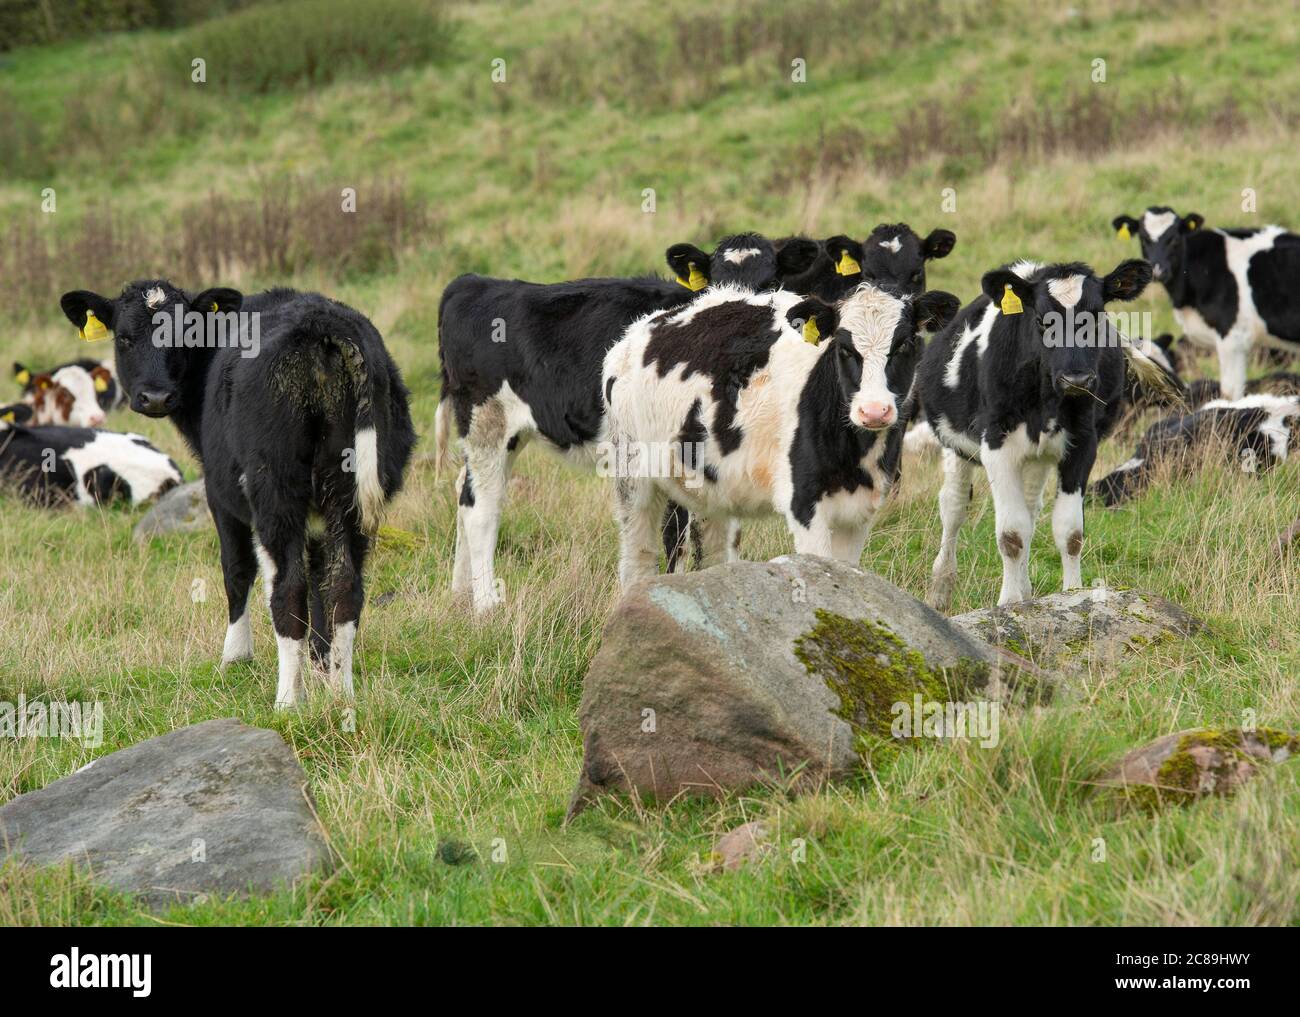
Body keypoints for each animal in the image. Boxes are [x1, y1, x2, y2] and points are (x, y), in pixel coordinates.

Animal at [60, 281, 415, 709]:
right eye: (125, 338)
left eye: (185, 335)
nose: (156, 397)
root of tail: (323, 328)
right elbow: (319, 580)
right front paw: (319, 664)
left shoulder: (218, 493)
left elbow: (237, 569)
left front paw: (236, 656)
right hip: (353, 497)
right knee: (345, 586)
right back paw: (341, 694)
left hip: (274, 494)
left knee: (287, 590)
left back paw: (286, 701)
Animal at [435, 233, 820, 612]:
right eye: (714, 281)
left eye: (770, 282)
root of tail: (472, 283)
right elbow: (676, 535)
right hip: (488, 422)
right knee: (482, 509)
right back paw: (486, 605)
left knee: (463, 491)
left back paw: (459, 594)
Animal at [601, 281, 959, 586]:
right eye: (844, 348)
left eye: (905, 344)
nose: (874, 411)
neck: (854, 455)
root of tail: (639, 330)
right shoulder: (805, 503)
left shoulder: (862, 510)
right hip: (632, 475)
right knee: (638, 557)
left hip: (708, 485)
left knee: (711, 553)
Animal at [916, 258, 1177, 610]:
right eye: (1041, 320)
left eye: (1098, 316)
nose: (1077, 379)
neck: (1045, 400)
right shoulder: (996, 445)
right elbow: (1011, 534)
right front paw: (1009, 603)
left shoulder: (1083, 445)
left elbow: (1070, 532)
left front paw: (1071, 595)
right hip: (956, 446)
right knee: (954, 508)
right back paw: (941, 589)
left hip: (1036, 457)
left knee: (1030, 508)